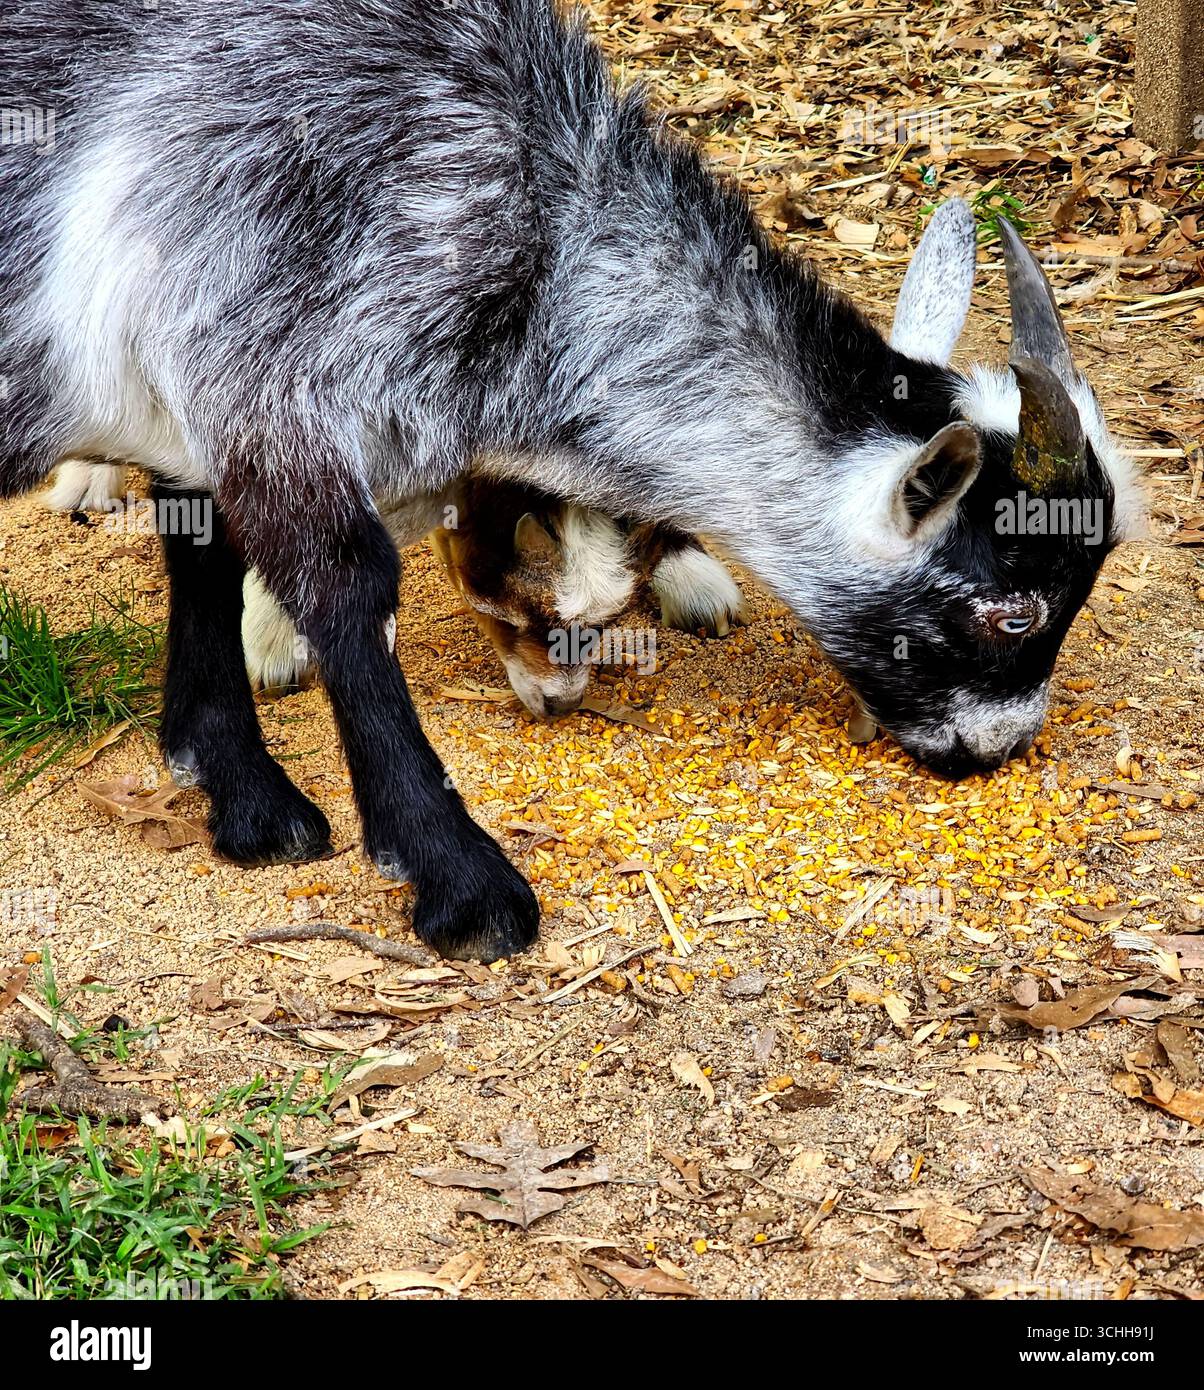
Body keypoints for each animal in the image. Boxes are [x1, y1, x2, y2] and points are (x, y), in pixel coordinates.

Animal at [0, 0, 1144, 960]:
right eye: (1012, 610)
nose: (1000, 748)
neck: (534, 230)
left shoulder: (203, 389)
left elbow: (201, 541)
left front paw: (227, 779)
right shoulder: (254, 343)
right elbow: (346, 586)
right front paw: (458, 880)